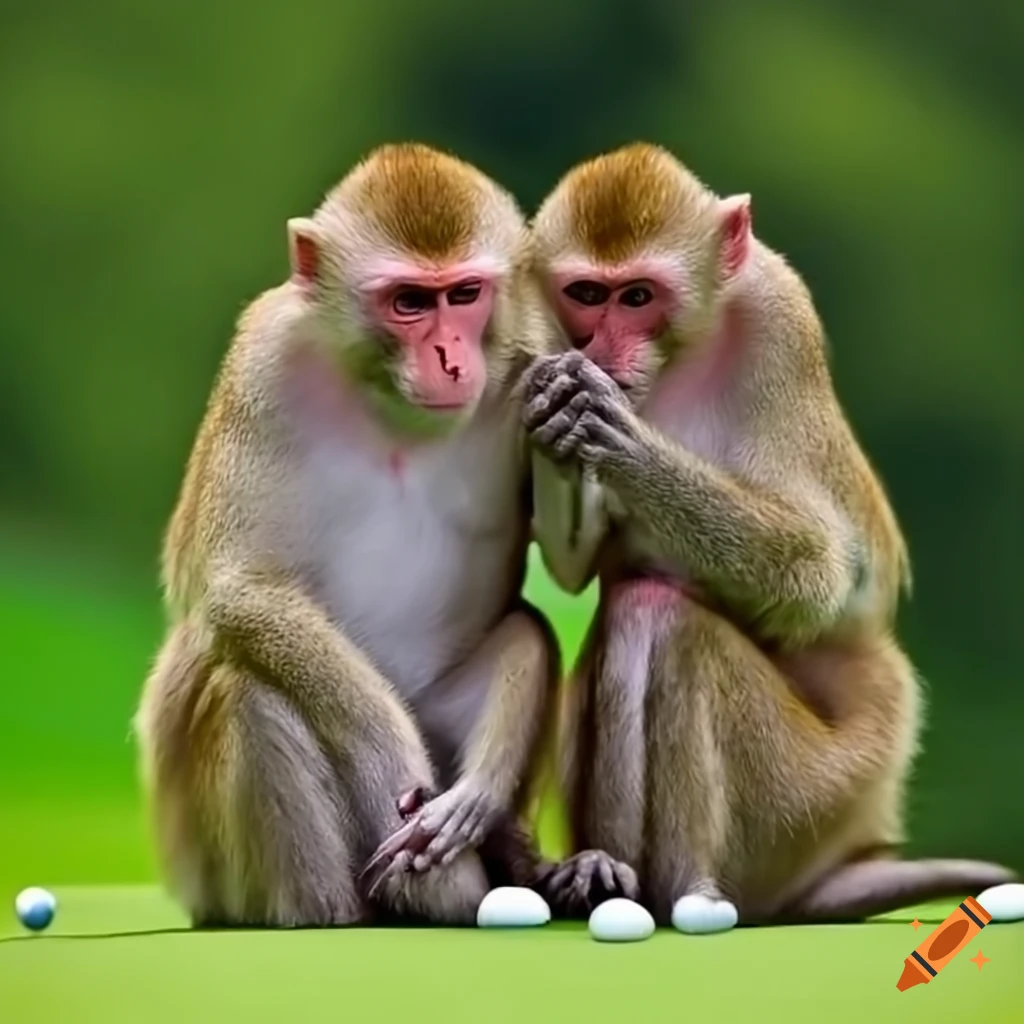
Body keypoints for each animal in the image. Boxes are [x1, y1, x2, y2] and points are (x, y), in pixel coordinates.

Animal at [133, 143, 571, 929]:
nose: (451, 358)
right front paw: (383, 760)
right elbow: (240, 586)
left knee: (523, 630)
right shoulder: (264, 361)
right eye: (410, 302)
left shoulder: (534, 344)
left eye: (465, 294)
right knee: (246, 686)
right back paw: (342, 911)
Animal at [520, 142, 1017, 930]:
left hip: (813, 794)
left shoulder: (780, 316)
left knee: (662, 617)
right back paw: (600, 869)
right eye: (588, 295)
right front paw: (553, 409)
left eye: (639, 298)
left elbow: (822, 572)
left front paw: (614, 433)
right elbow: (572, 571)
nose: (604, 348)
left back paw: (688, 892)